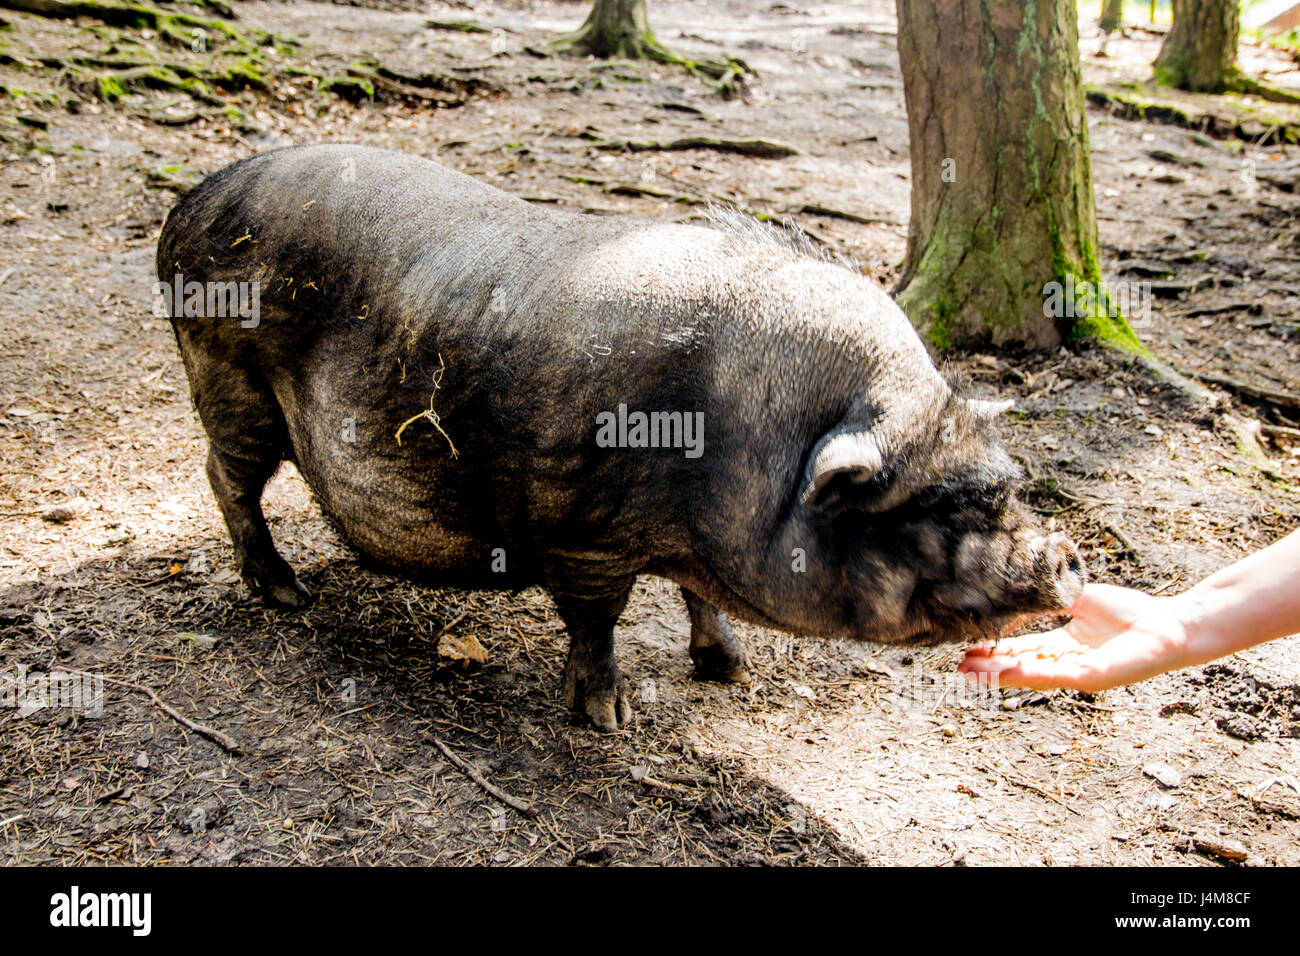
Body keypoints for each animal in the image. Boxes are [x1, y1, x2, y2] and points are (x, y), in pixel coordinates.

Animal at [157, 144, 1085, 731]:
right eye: (944, 505)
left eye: (1003, 483)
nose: (1067, 556)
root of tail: (188, 200)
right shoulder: (586, 534)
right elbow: (599, 621)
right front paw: (610, 722)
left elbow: (698, 599)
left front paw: (731, 671)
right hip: (231, 381)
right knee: (224, 477)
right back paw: (287, 594)